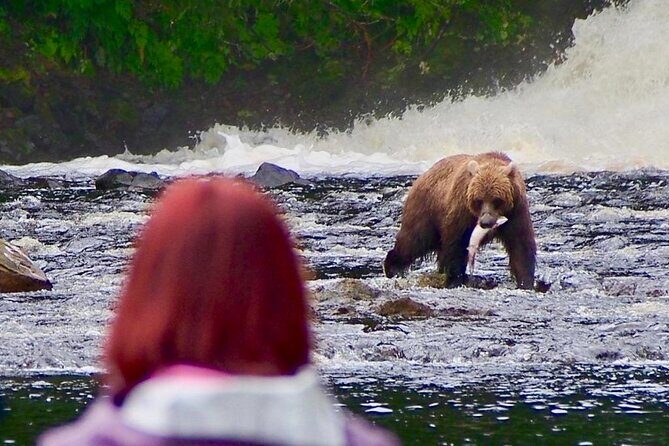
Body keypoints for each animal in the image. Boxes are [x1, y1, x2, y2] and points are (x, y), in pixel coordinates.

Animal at [383, 152, 536, 289]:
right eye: (479, 200)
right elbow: (456, 244)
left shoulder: (516, 211)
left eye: (497, 200)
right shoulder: (462, 211)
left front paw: (526, 282)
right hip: (426, 210)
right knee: (413, 241)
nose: (485, 222)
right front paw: (455, 279)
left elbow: (521, 245)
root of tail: (422, 176)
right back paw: (392, 267)